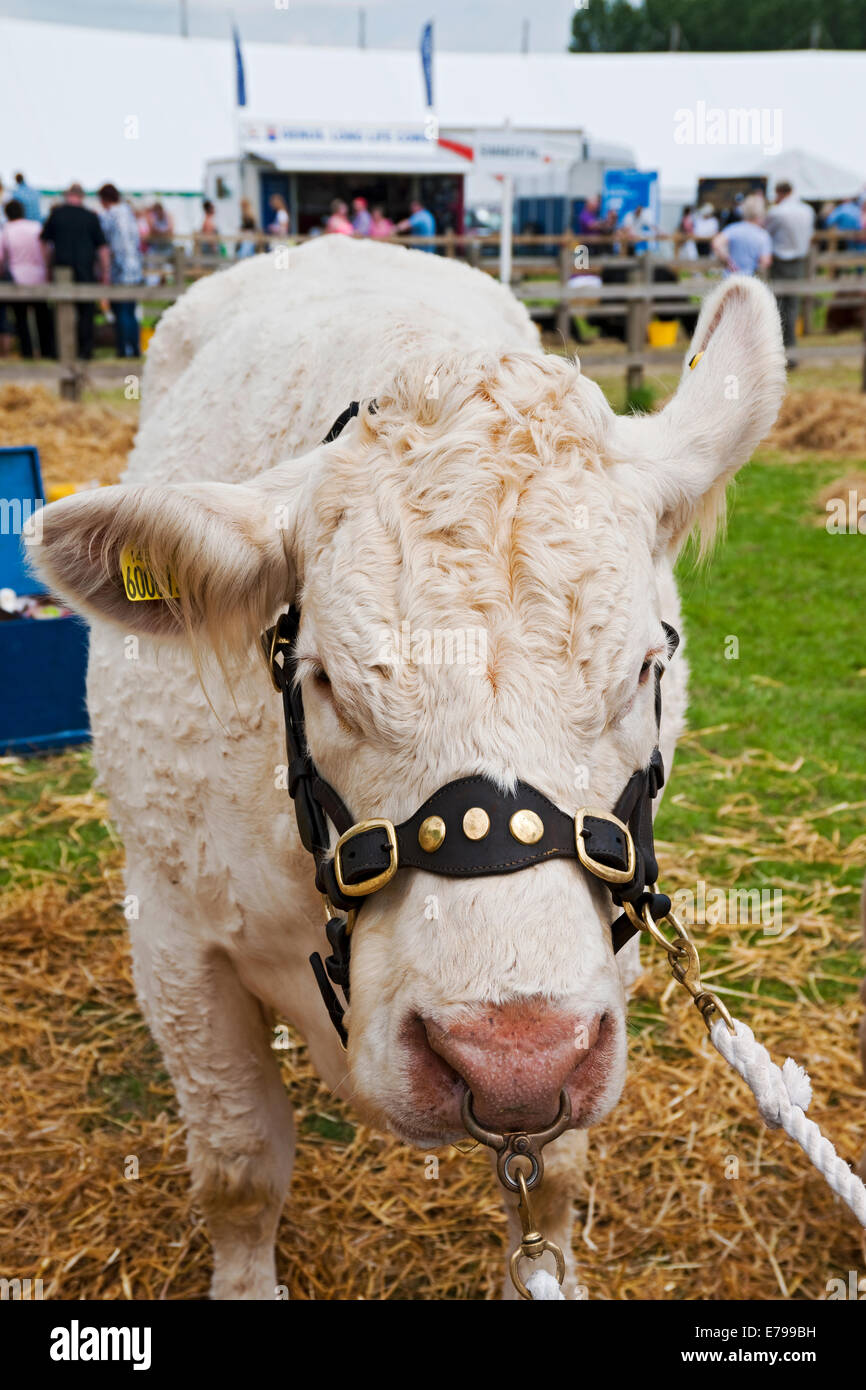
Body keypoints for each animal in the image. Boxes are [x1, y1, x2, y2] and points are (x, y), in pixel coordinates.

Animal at [33, 237, 785, 1299]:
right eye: (325, 681)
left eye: (645, 670)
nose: (512, 1060)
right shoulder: (174, 934)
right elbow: (237, 1167)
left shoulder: (607, 951)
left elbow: (553, 1180)